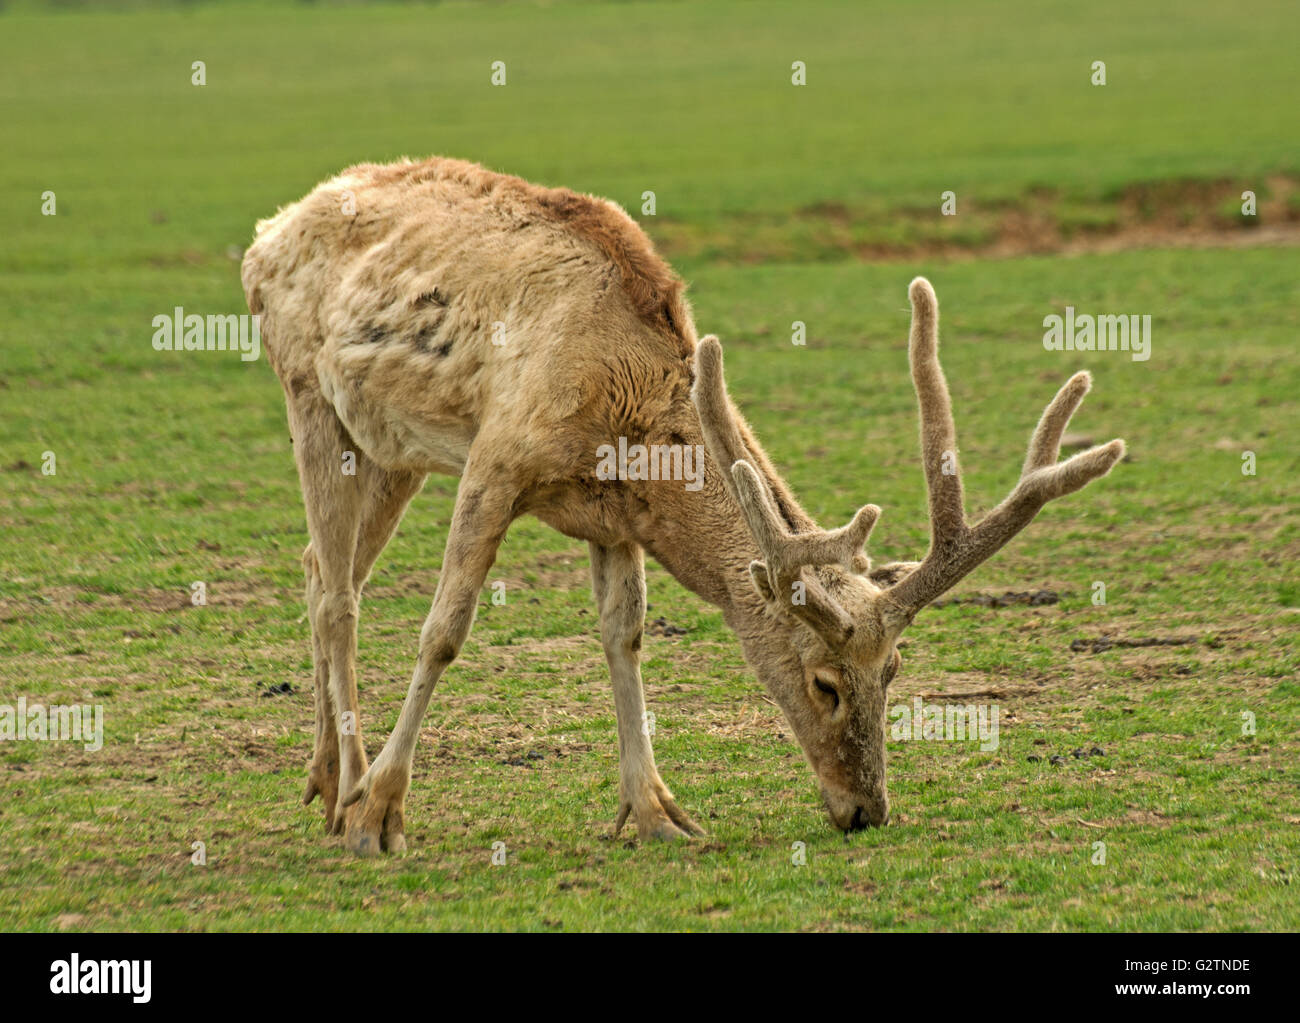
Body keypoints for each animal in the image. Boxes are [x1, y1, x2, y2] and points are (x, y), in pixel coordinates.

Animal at [240, 157, 1125, 856]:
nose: (867, 810)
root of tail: (262, 238)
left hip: (389, 448)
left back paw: (324, 778)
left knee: (321, 568)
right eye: (825, 683)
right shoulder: (497, 455)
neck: (628, 415)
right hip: (307, 393)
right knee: (339, 595)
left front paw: (656, 811)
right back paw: (350, 791)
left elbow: (623, 636)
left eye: (896, 670)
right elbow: (444, 630)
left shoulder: (608, 515)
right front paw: (382, 815)